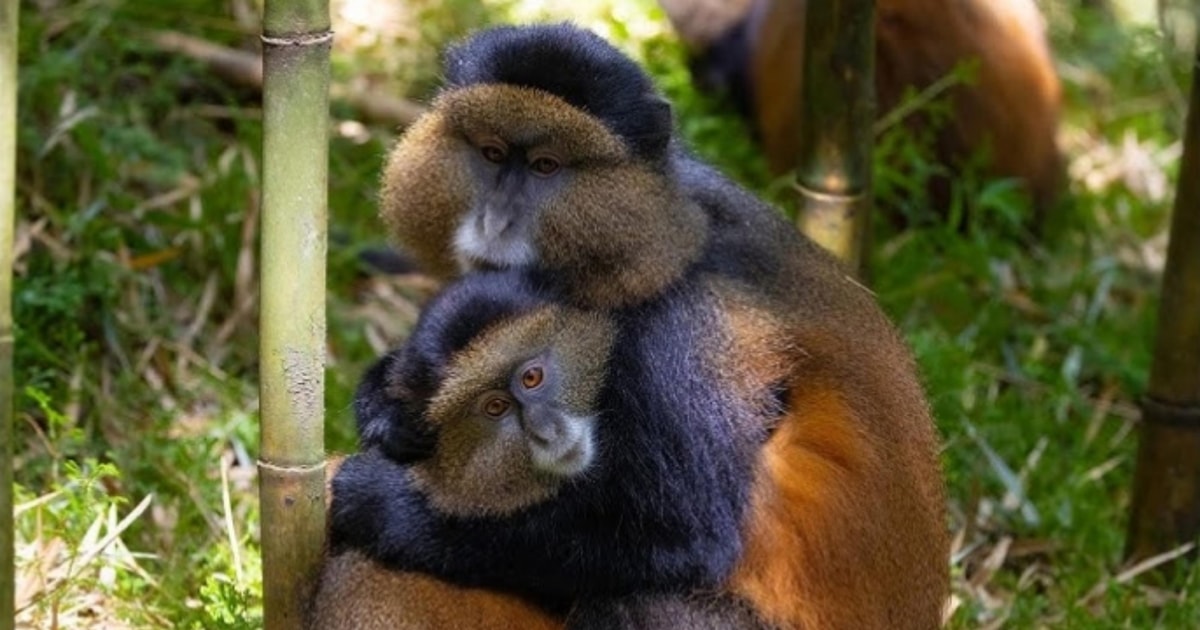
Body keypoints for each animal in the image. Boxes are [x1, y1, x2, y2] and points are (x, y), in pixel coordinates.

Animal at [315, 270, 774, 629]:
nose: (545, 430)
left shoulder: (662, 372)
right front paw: (385, 413)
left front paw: (382, 506)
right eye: (495, 407)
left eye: (533, 377)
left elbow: (690, 543)